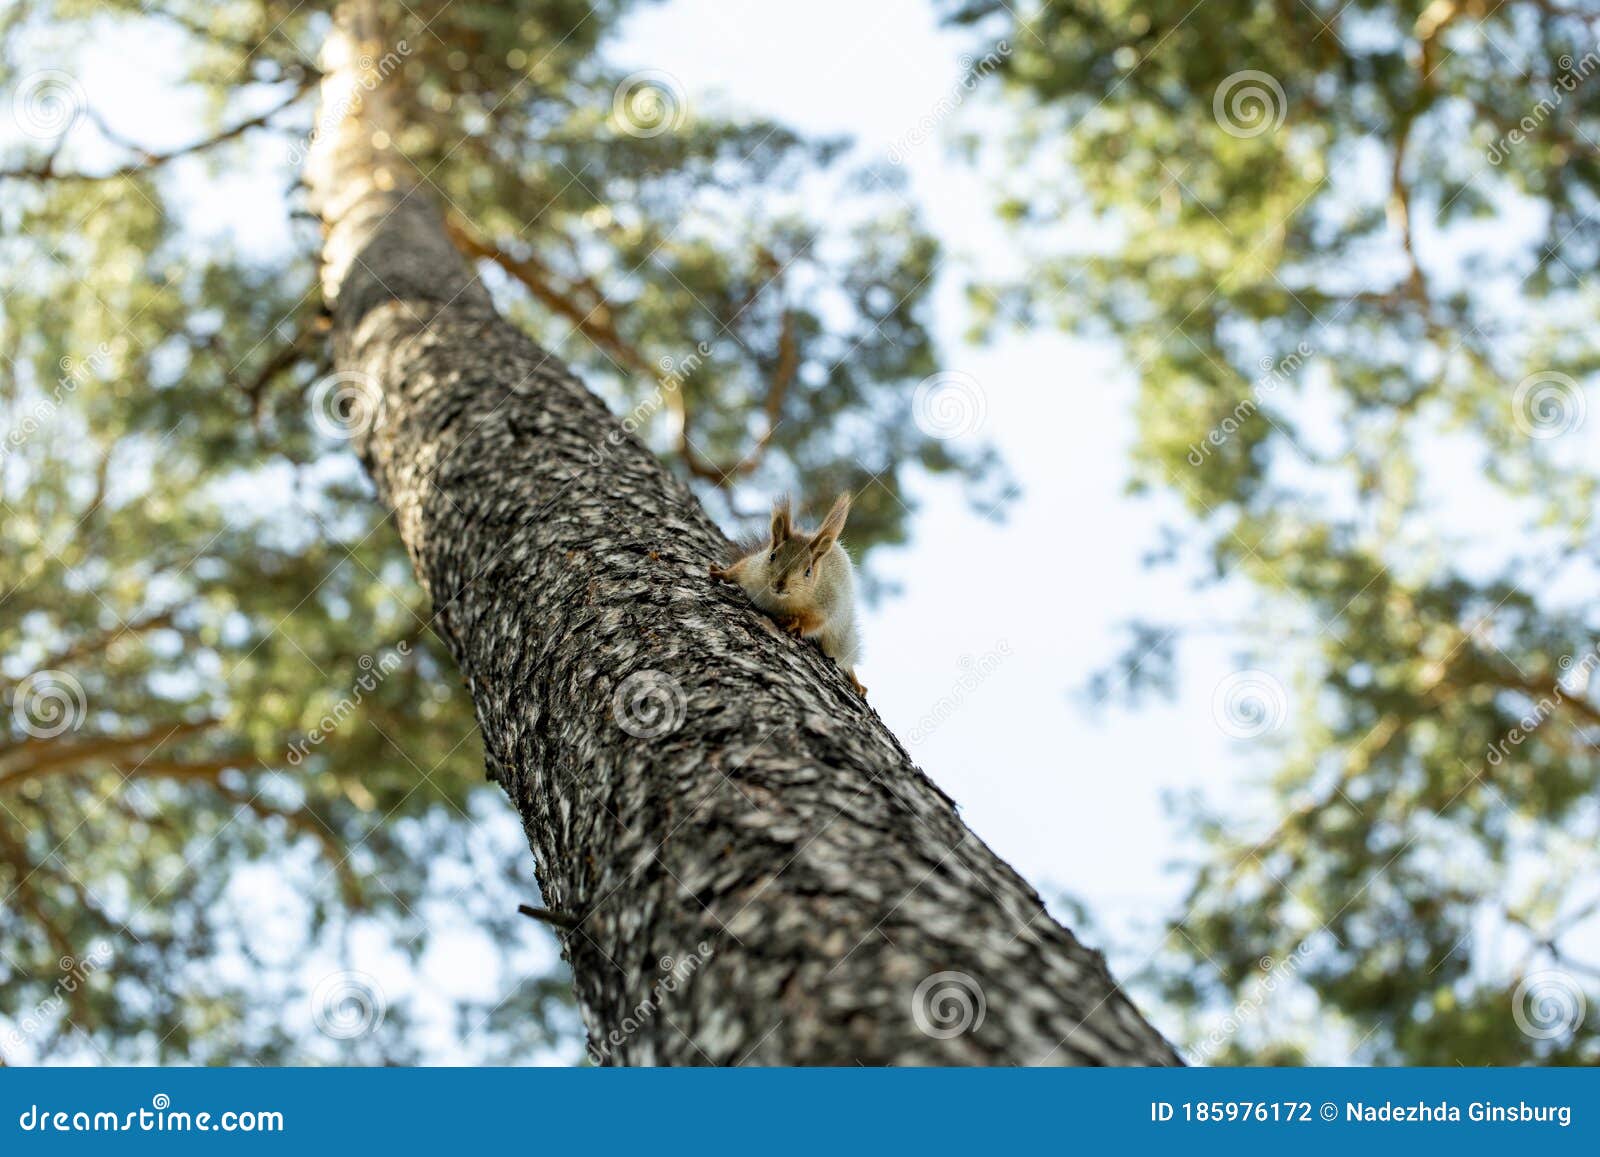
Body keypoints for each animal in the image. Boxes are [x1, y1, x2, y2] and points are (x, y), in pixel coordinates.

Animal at [709, 493, 866, 696]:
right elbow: (739, 568)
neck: (777, 600)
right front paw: (721, 573)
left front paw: (795, 623)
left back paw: (856, 682)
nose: (780, 584)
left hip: (839, 634)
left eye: (808, 571)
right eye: (772, 555)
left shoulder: (826, 602)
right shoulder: (752, 567)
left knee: (841, 657)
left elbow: (815, 621)